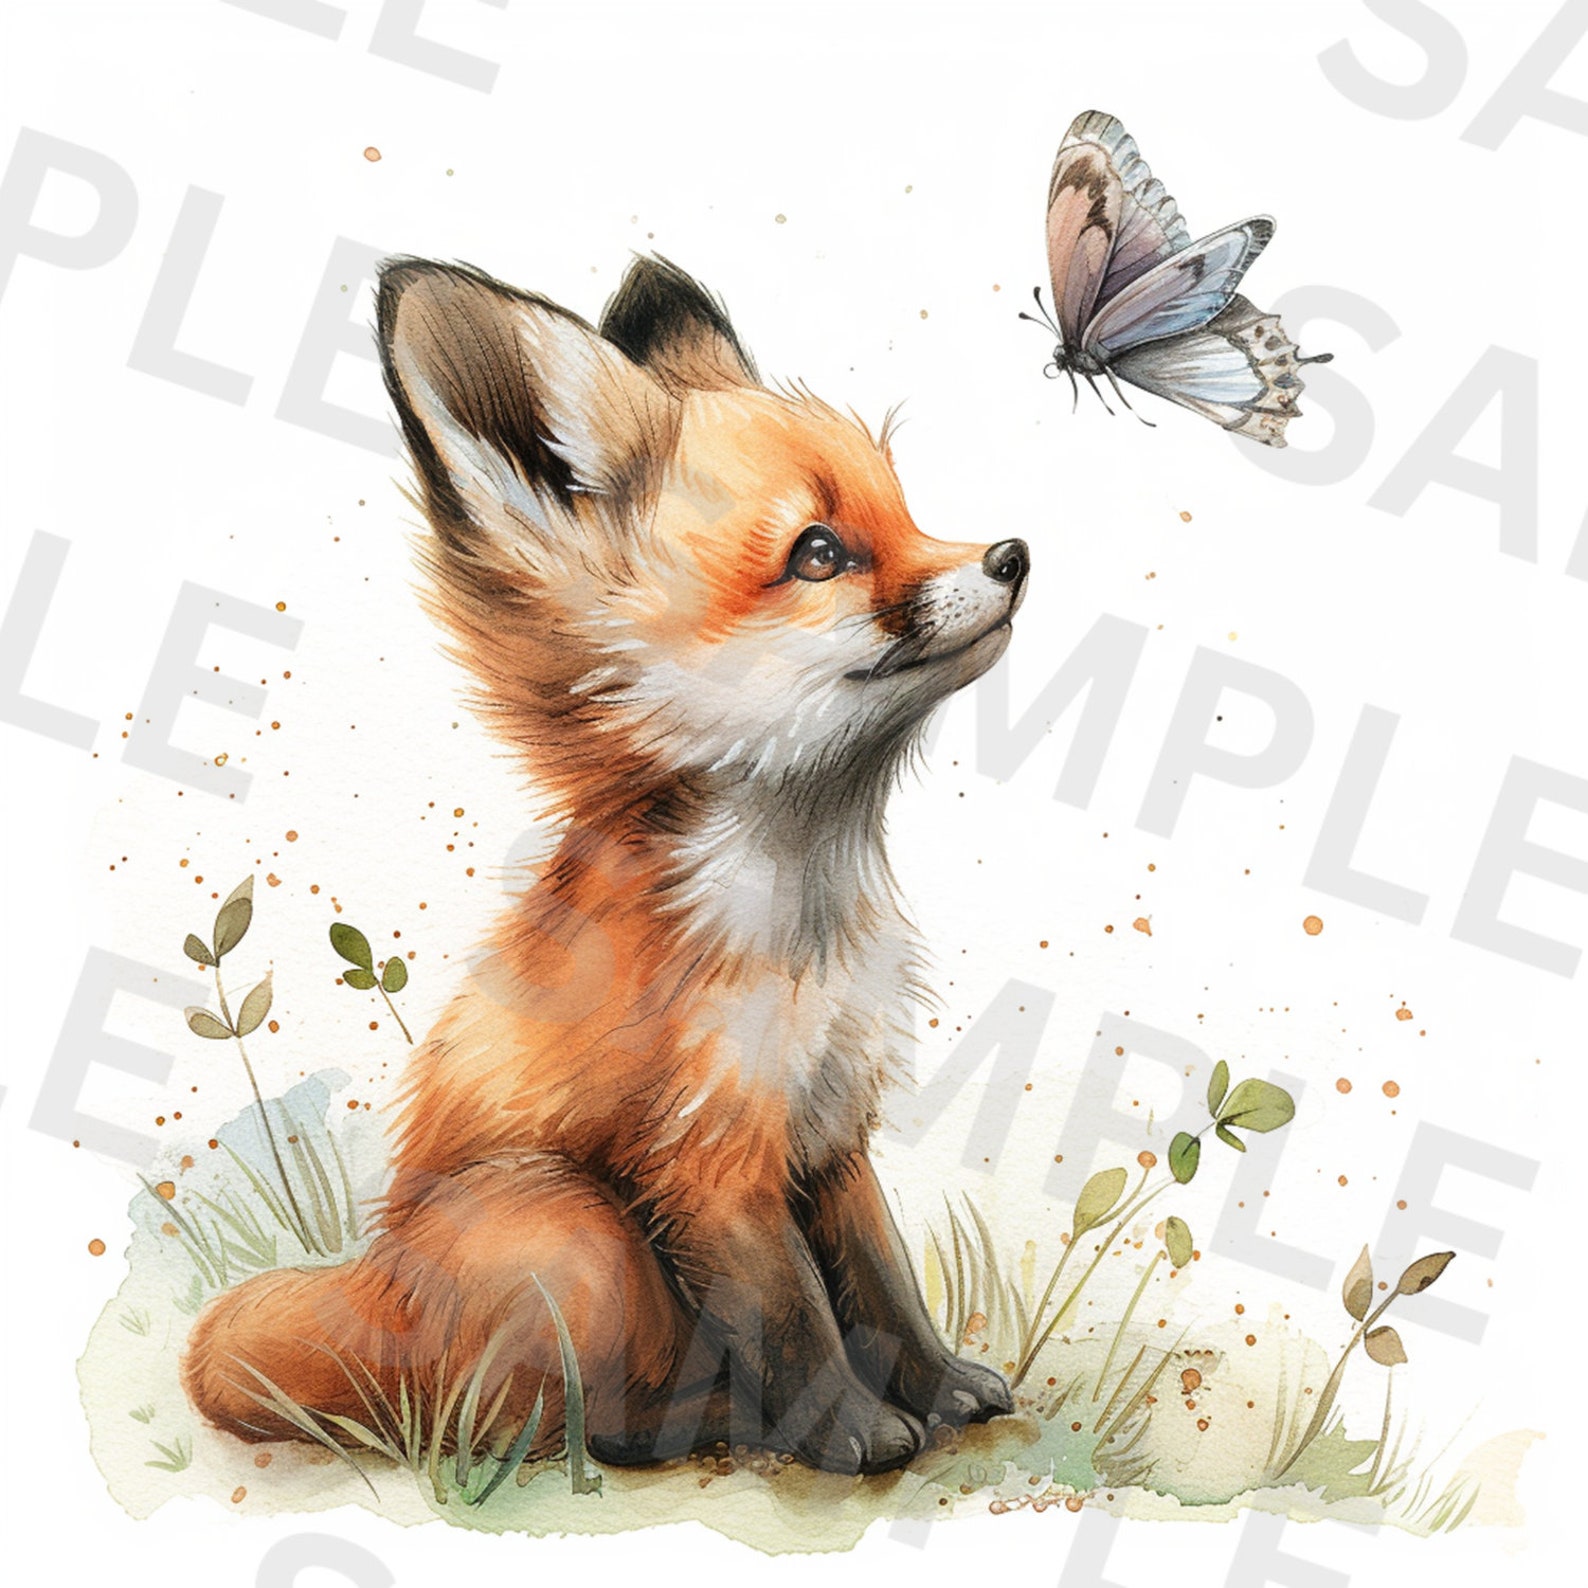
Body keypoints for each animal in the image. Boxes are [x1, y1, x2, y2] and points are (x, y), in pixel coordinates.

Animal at [181, 253, 1030, 1476]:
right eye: (819, 553)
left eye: (905, 509)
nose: (1012, 556)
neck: (806, 935)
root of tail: (376, 1292)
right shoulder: (707, 1157)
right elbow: (798, 1314)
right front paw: (851, 1430)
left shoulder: (830, 1131)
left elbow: (883, 1287)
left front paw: (942, 1387)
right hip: (569, 1228)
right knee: (536, 1422)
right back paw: (707, 1422)